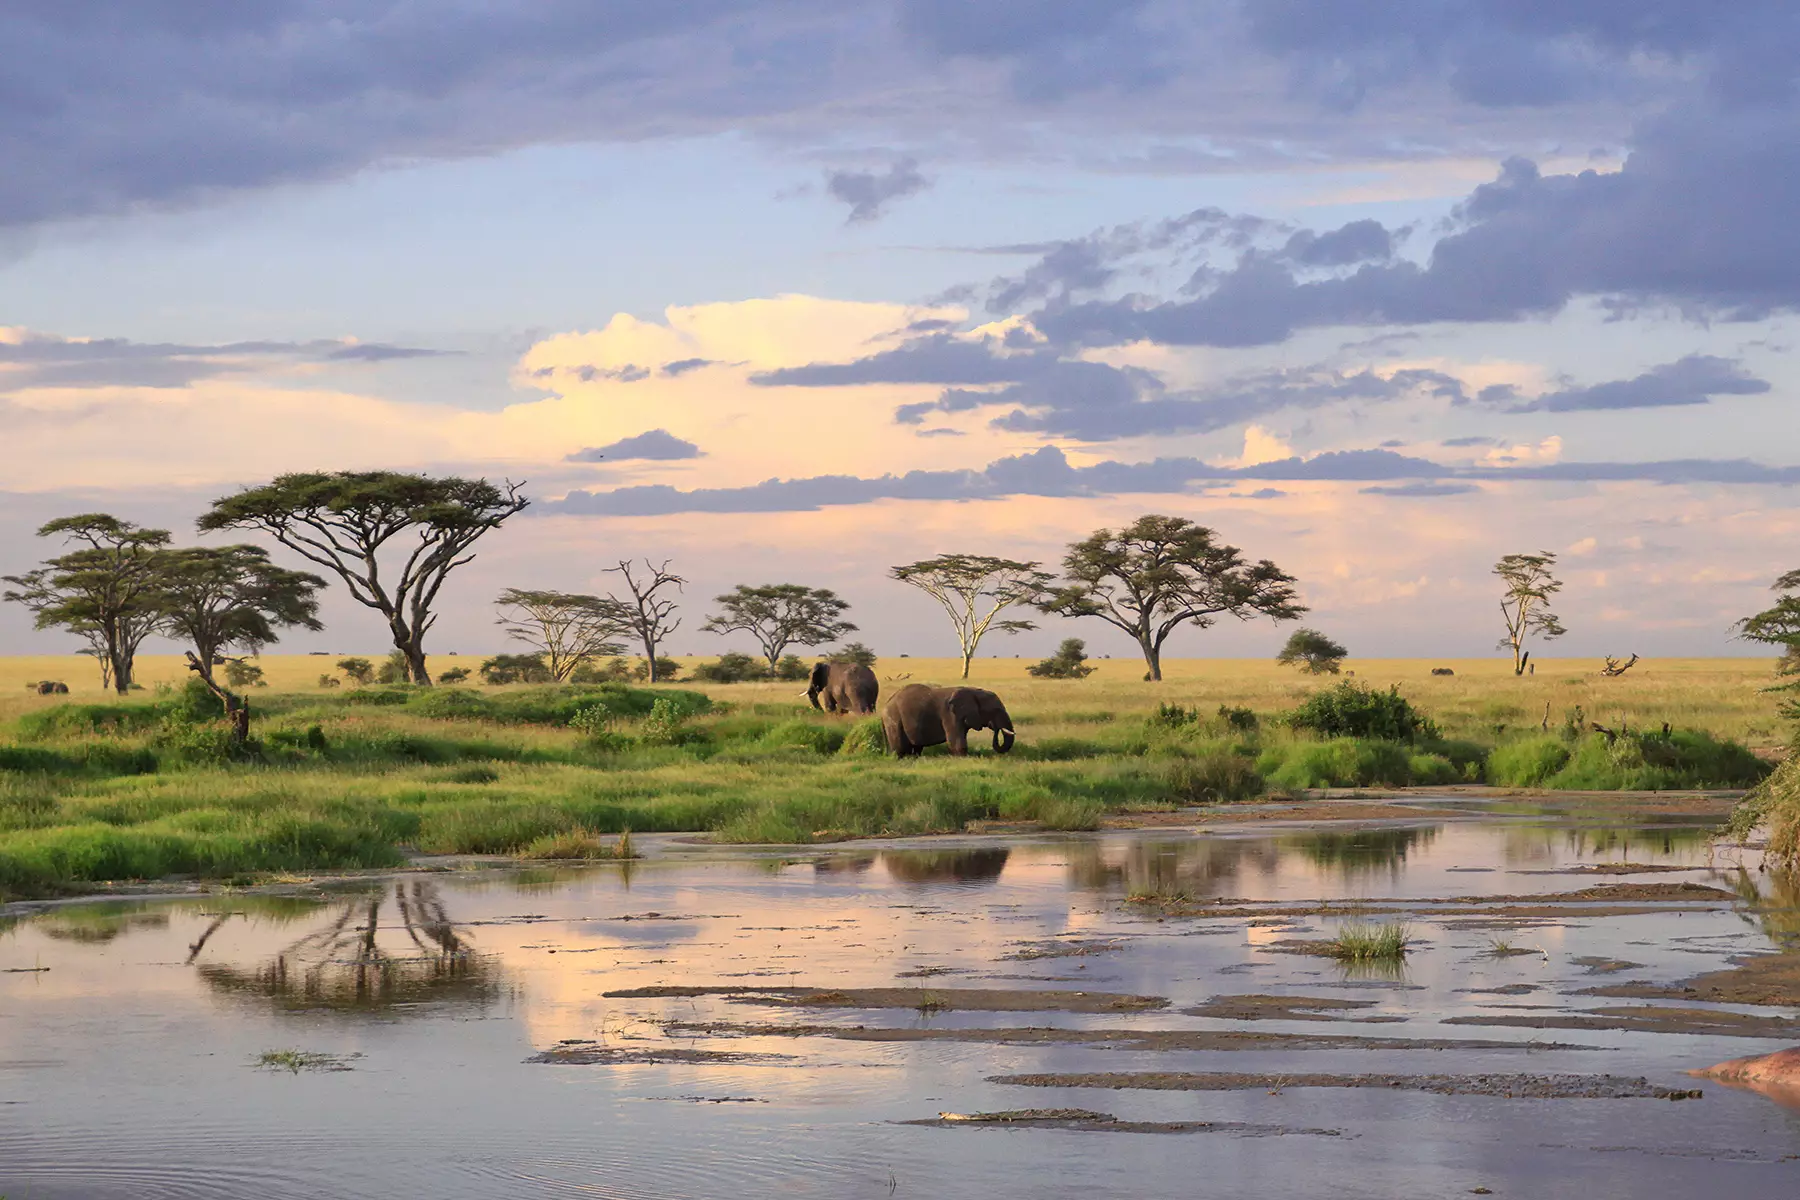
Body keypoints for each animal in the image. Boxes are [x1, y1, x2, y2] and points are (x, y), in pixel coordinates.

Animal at [882, 680, 1015, 755]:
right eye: (996, 710)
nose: (995, 727)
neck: (973, 691)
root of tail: (887, 703)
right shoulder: (950, 714)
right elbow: (956, 740)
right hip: (893, 718)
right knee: (900, 748)